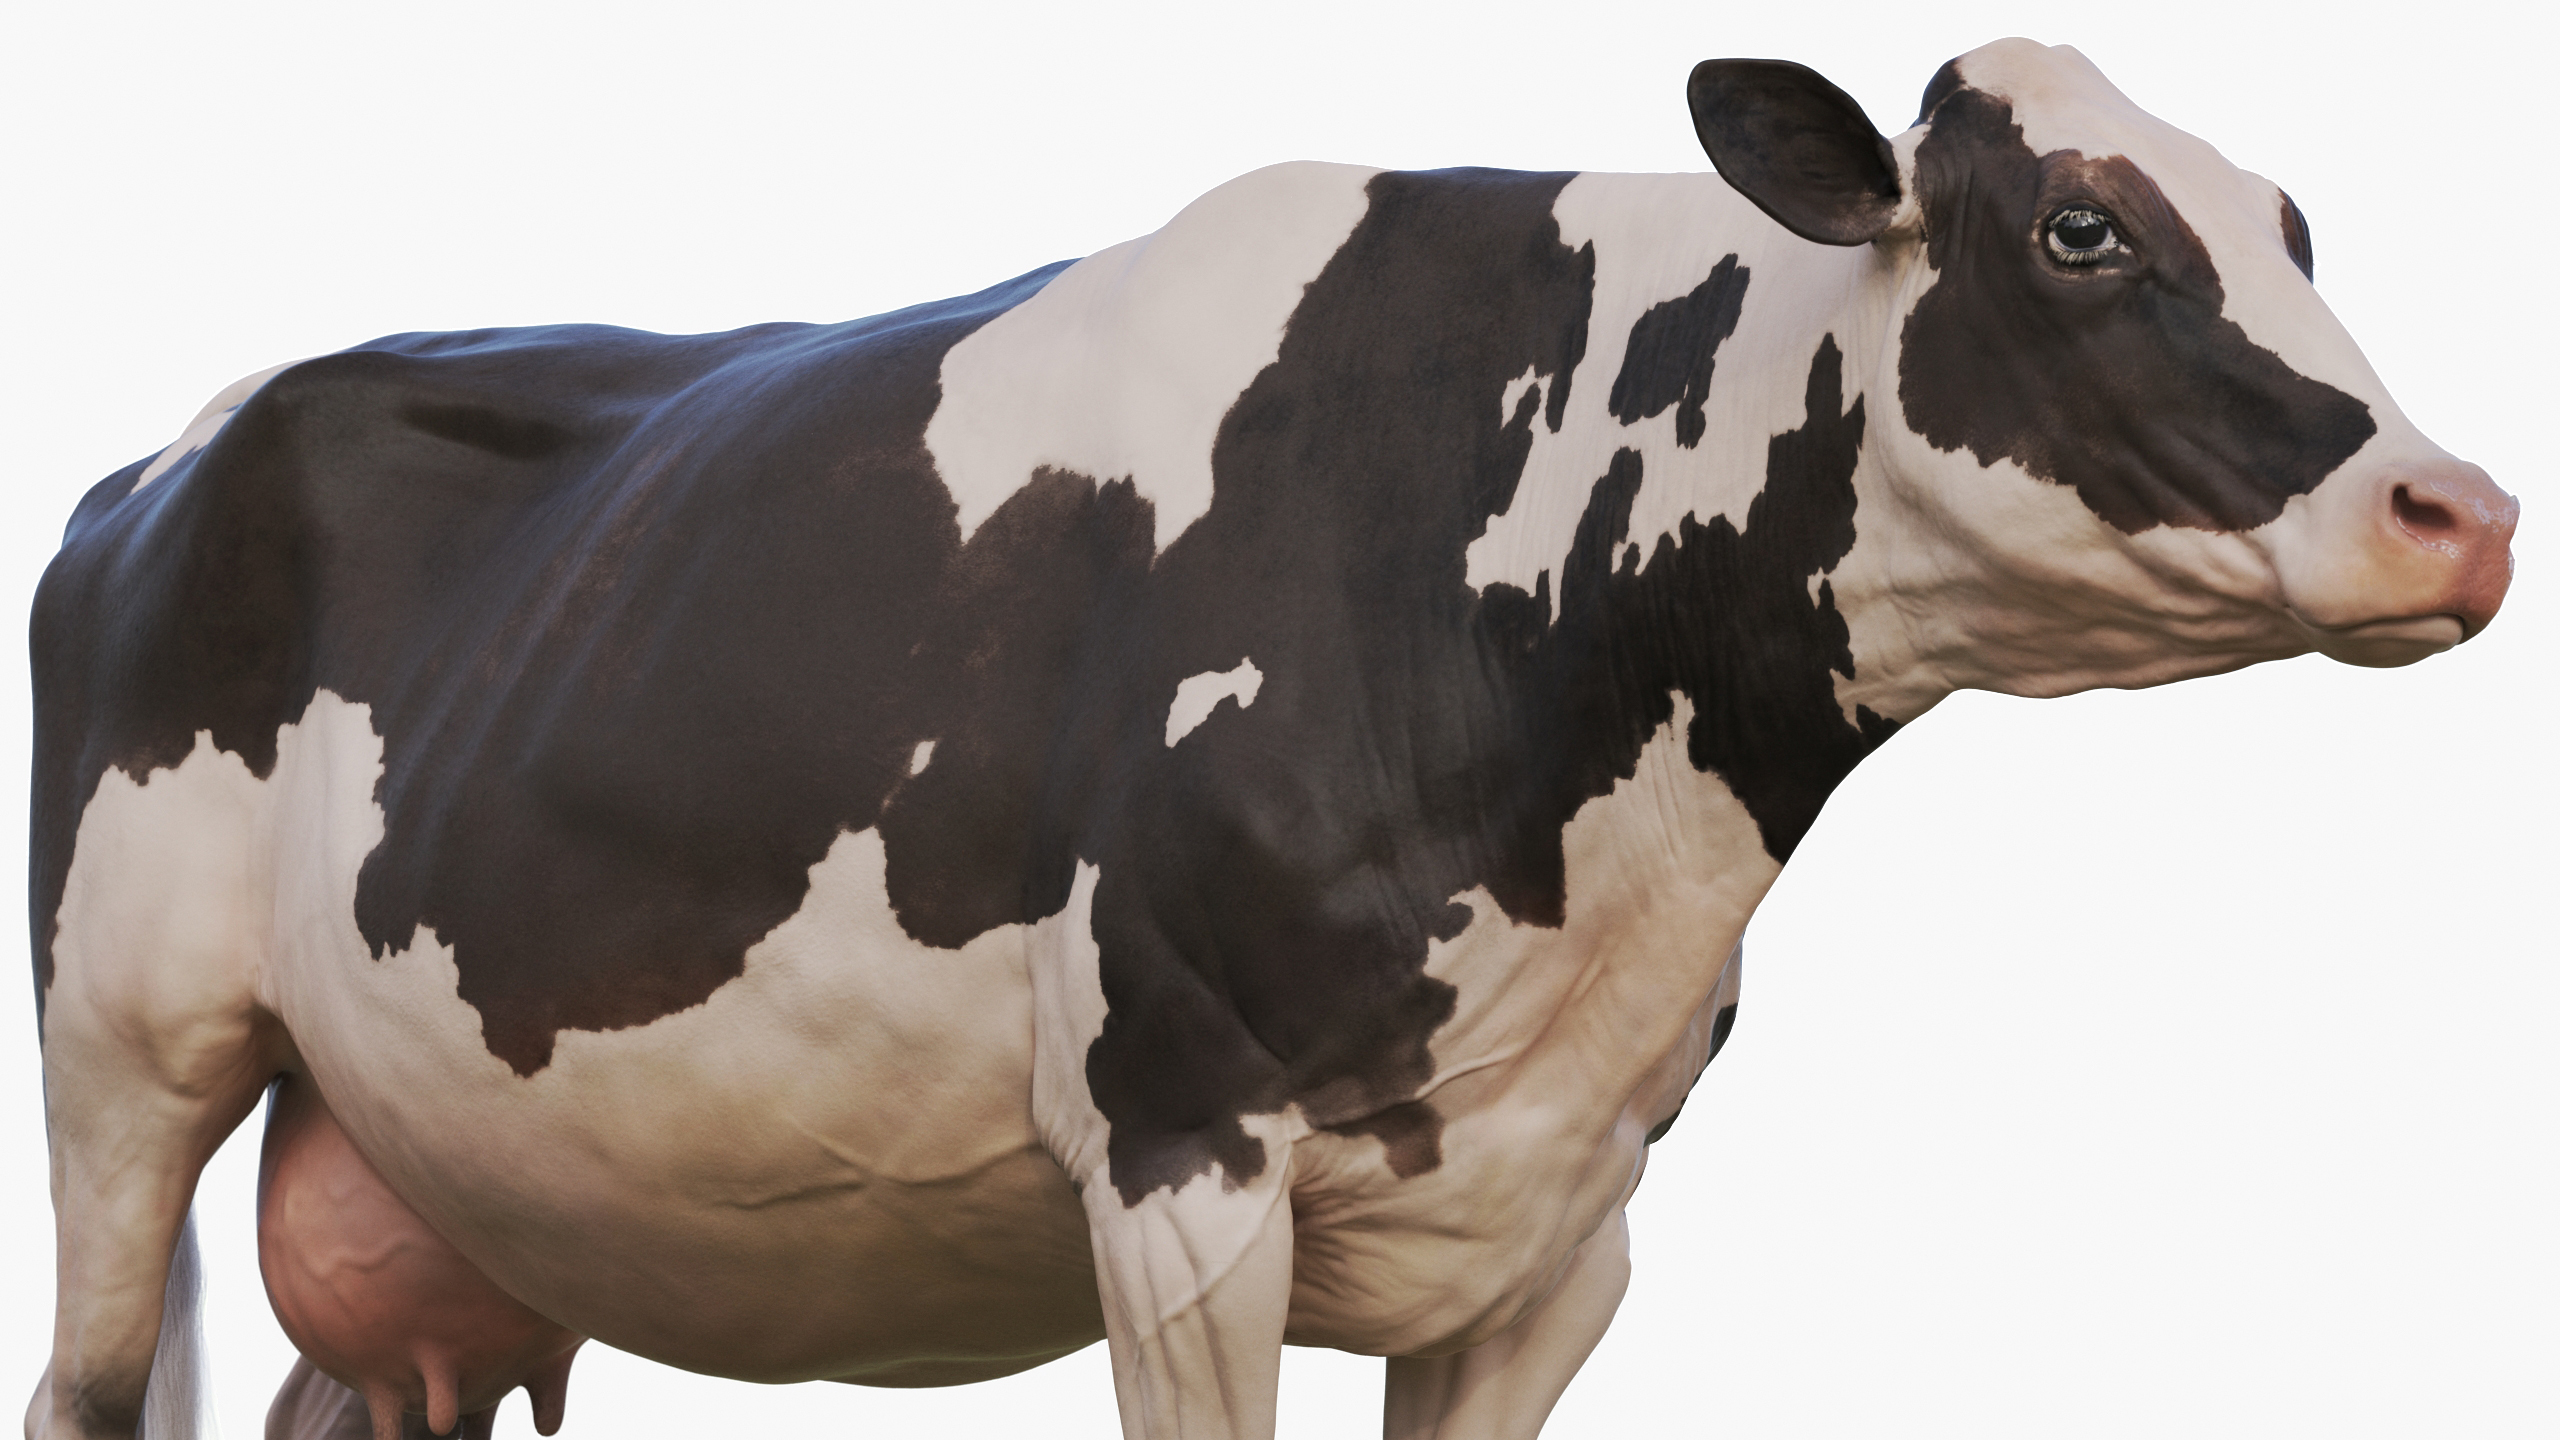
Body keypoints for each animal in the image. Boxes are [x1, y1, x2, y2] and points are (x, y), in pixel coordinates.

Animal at [24, 36, 2515, 1440]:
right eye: (2080, 228)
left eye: (2294, 221)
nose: (2461, 508)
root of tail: (157, 461)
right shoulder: (1175, 1152)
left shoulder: (1567, 1220)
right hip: (124, 1051)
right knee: (84, 1382)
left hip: (427, 1175)